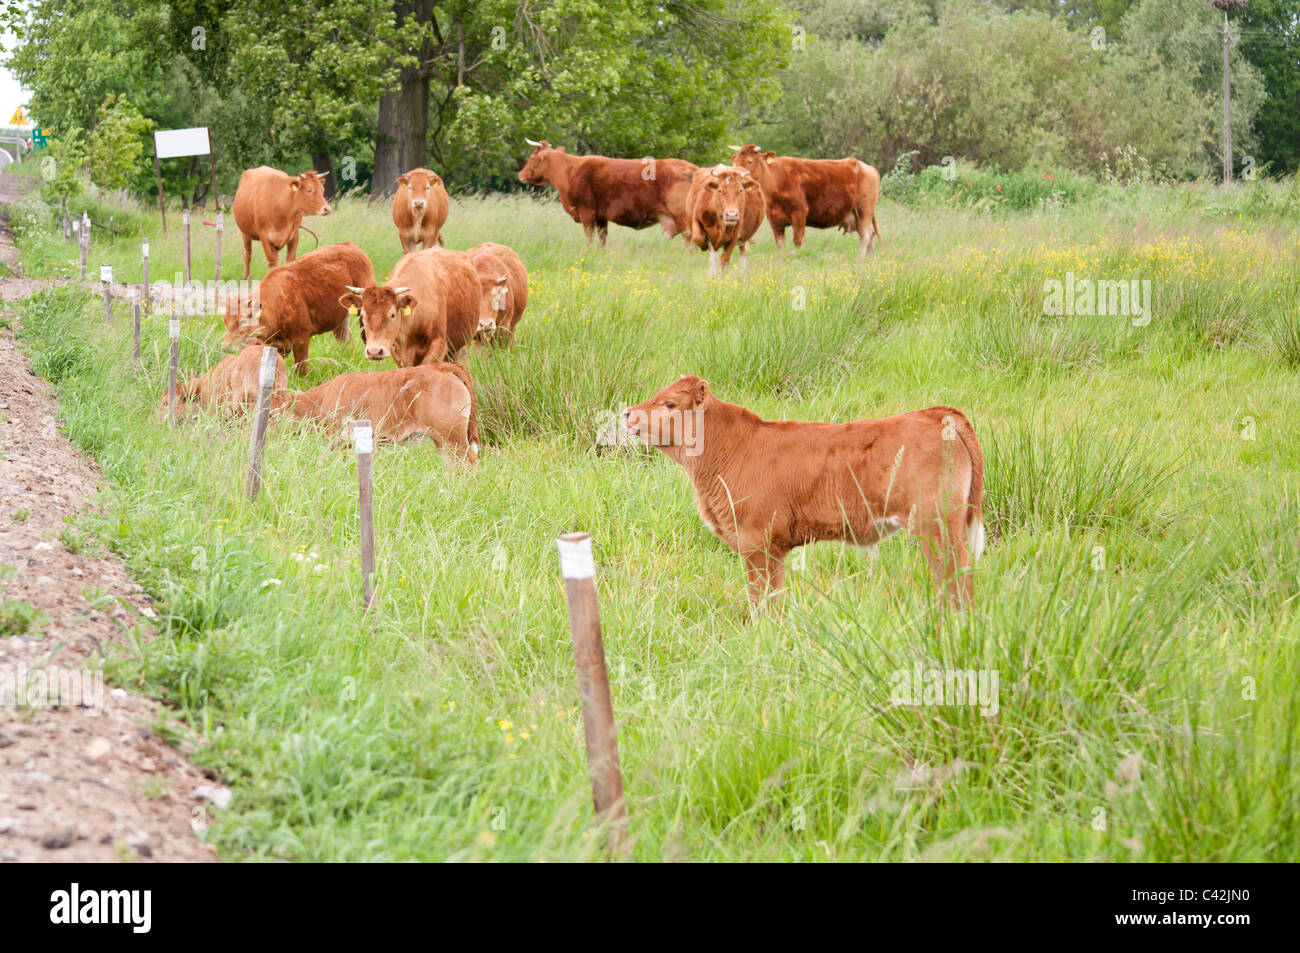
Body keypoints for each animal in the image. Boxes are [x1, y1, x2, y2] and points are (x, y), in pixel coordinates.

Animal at [222, 242, 375, 372]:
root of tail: (350, 245)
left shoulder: (301, 339)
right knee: (347, 343)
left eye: (243, 322)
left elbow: (301, 369)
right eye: (225, 322)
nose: (225, 347)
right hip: (340, 322)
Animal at [340, 247, 479, 367]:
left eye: (392, 315)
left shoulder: (439, 345)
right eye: (363, 315)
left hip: (462, 345)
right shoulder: (396, 350)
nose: (374, 351)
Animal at [518, 139, 697, 245]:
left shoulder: (587, 213)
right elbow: (602, 239)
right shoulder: (601, 217)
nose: (520, 175)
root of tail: (690, 167)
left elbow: (589, 238)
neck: (570, 171)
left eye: (532, 158)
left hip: (682, 216)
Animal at [624, 376, 984, 607]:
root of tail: (934, 413)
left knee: (957, 574)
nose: (627, 412)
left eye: (669, 403)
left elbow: (762, 599)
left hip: (936, 525)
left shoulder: (758, 541)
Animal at [729, 145, 880, 259]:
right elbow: (780, 245)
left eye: (749, 161)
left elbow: (798, 241)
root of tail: (866, 166)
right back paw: (870, 259)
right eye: (734, 162)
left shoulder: (800, 214)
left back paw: (860, 259)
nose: (736, 176)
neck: (775, 180)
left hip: (864, 210)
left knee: (866, 235)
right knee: (870, 235)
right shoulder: (774, 219)